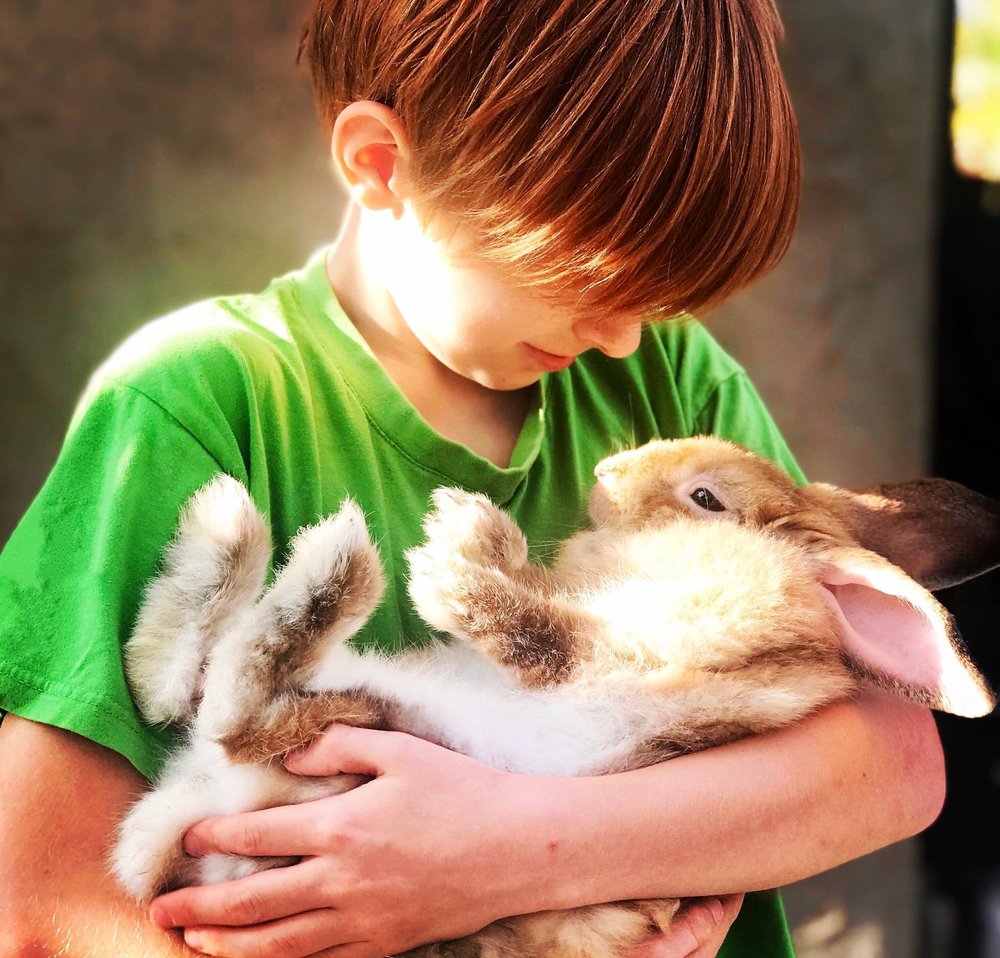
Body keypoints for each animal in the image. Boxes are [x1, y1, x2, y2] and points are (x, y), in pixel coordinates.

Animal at [112, 436, 1000, 957]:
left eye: (706, 498)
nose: (608, 473)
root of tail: (189, 821)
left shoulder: (650, 664)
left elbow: (545, 638)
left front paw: (457, 544)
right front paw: (476, 533)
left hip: (339, 741)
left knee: (232, 704)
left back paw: (330, 561)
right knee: (191, 690)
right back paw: (230, 526)